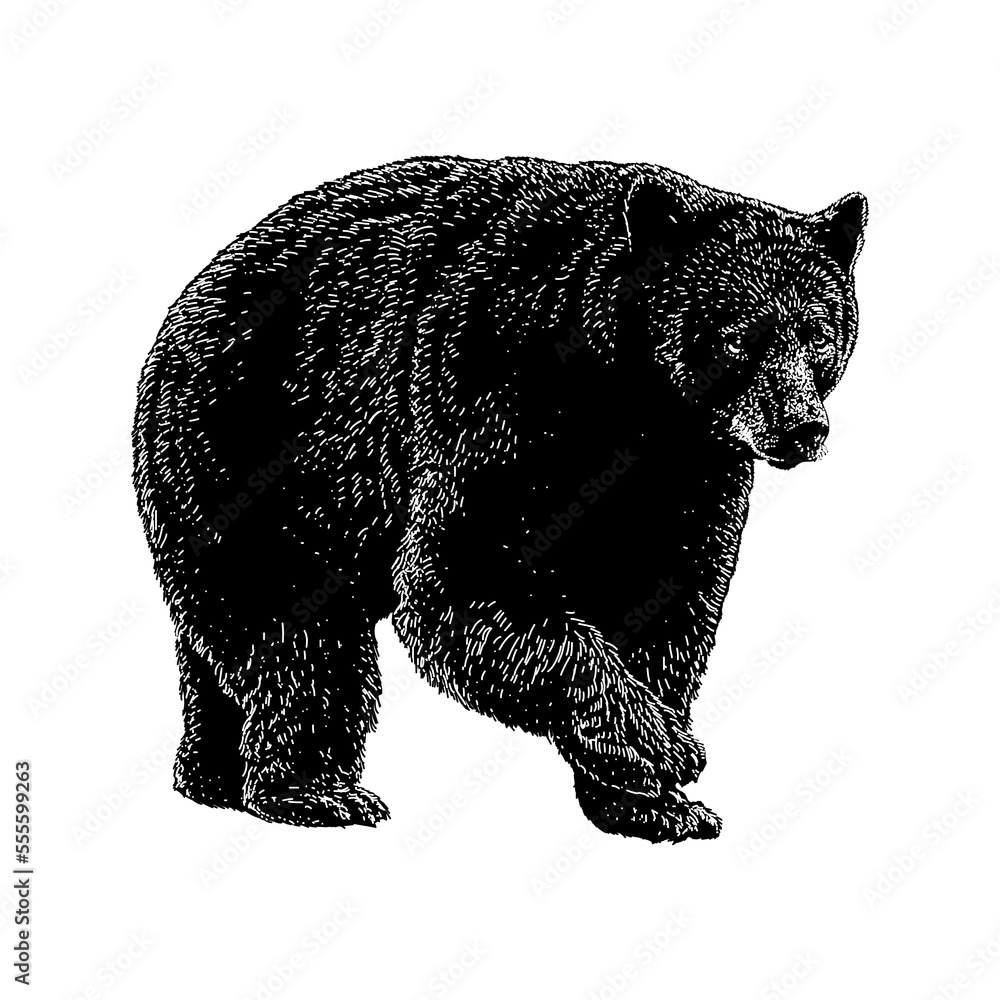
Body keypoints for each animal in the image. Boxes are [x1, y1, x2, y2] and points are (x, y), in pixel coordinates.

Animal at [132, 155, 866, 844]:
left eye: (821, 332)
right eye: (738, 334)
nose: (803, 428)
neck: (629, 407)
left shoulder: (690, 471)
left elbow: (665, 600)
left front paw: (652, 802)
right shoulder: (487, 387)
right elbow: (464, 577)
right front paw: (660, 747)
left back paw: (209, 777)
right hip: (253, 457)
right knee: (295, 633)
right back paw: (314, 792)